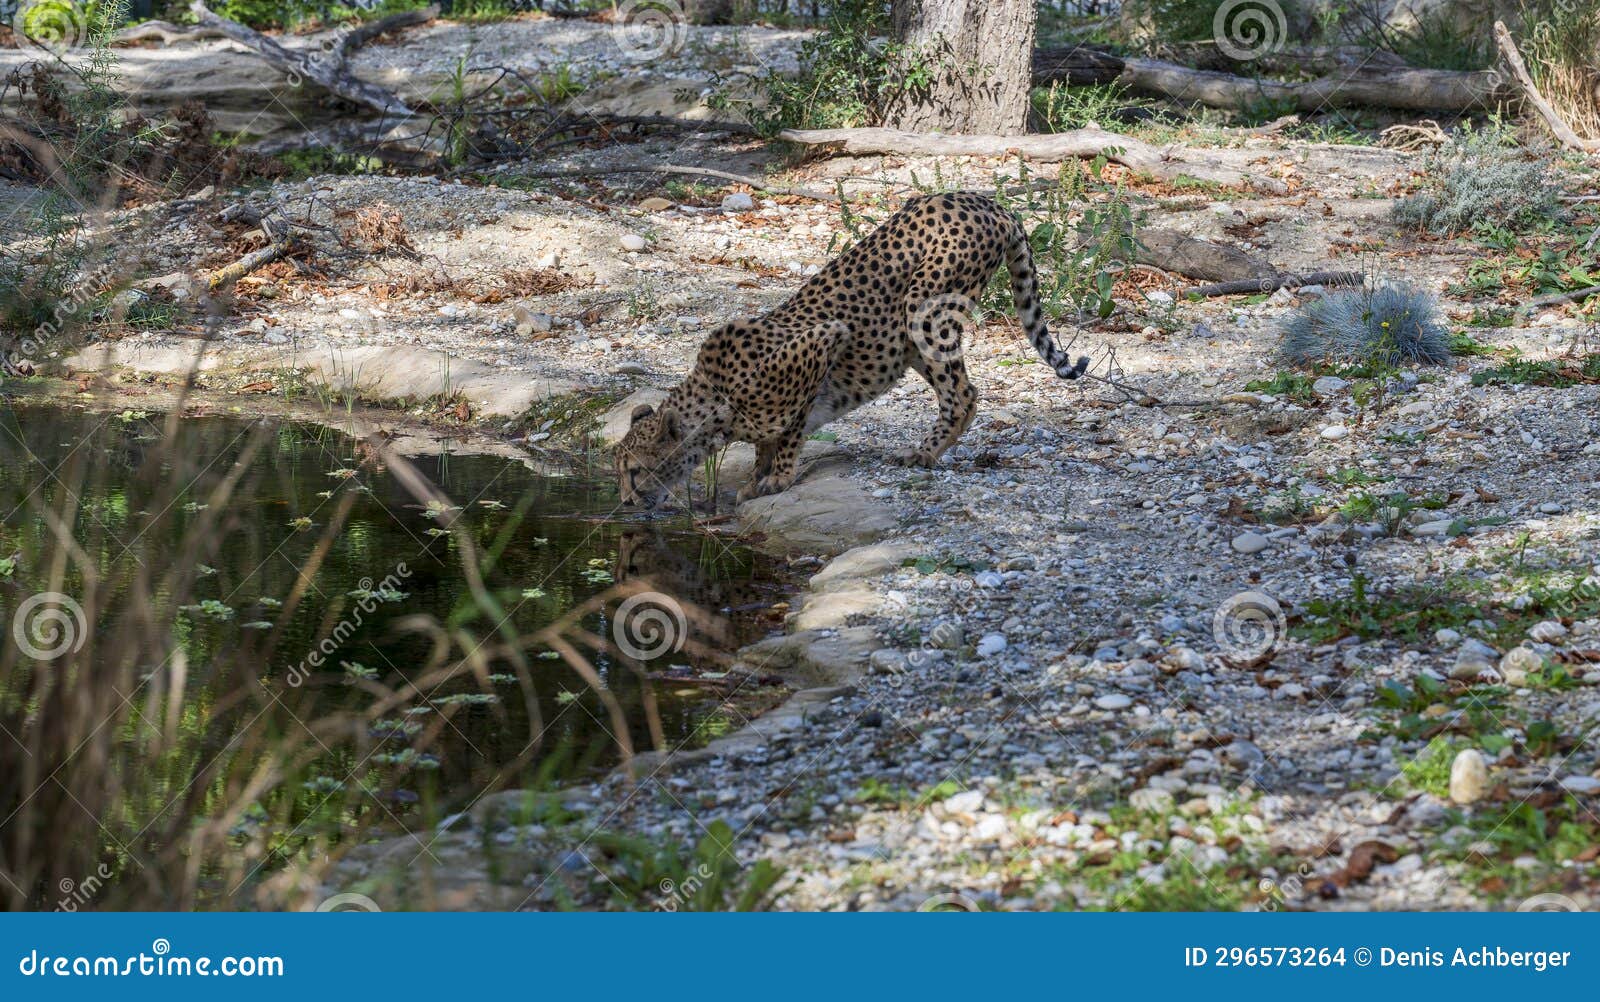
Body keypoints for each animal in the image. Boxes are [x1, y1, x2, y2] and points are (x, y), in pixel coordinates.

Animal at [615, 191, 1089, 510]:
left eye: (634, 470)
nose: (625, 502)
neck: (713, 401)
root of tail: (984, 200)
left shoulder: (823, 341)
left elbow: (789, 430)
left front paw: (778, 478)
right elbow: (764, 444)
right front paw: (755, 479)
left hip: (923, 308)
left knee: (963, 393)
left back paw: (922, 453)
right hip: (909, 340)